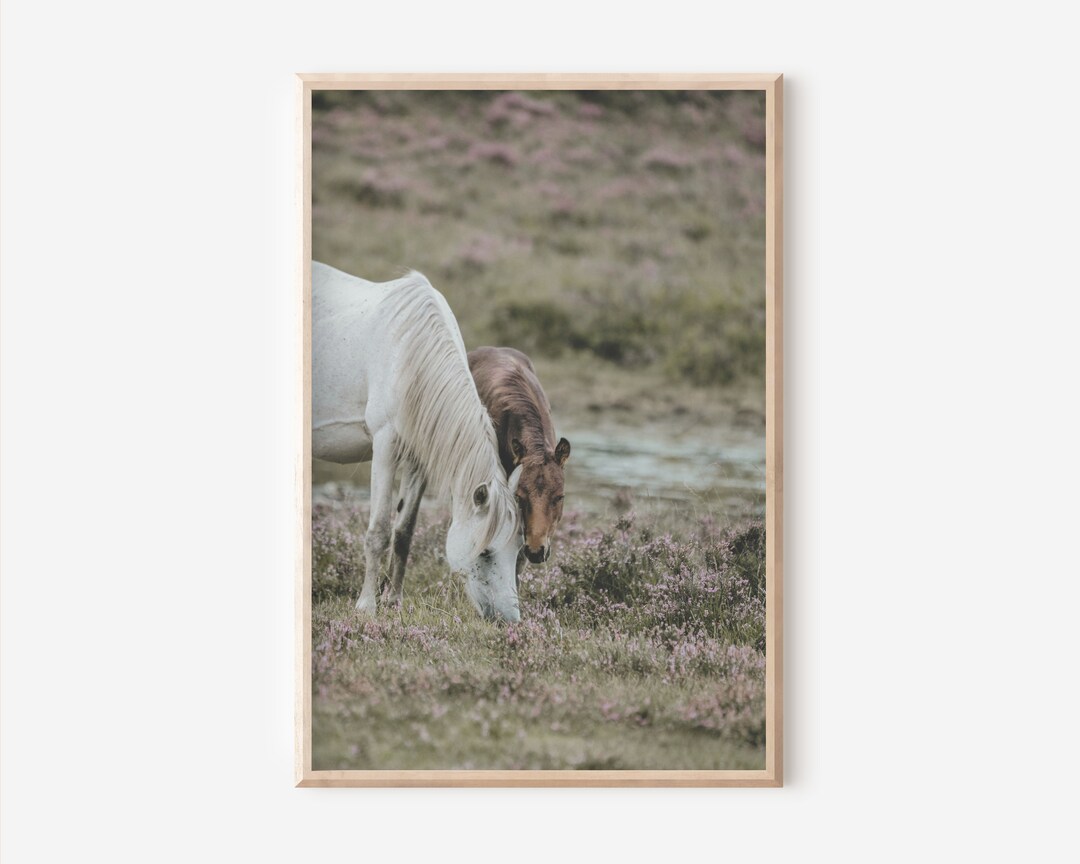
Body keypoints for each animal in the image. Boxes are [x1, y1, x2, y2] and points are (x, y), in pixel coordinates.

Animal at [312, 262, 523, 622]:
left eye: (518, 549)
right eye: (485, 552)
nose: (510, 620)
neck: (409, 350)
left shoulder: (419, 459)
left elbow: (404, 532)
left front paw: (393, 601)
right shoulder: (384, 447)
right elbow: (379, 531)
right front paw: (366, 606)